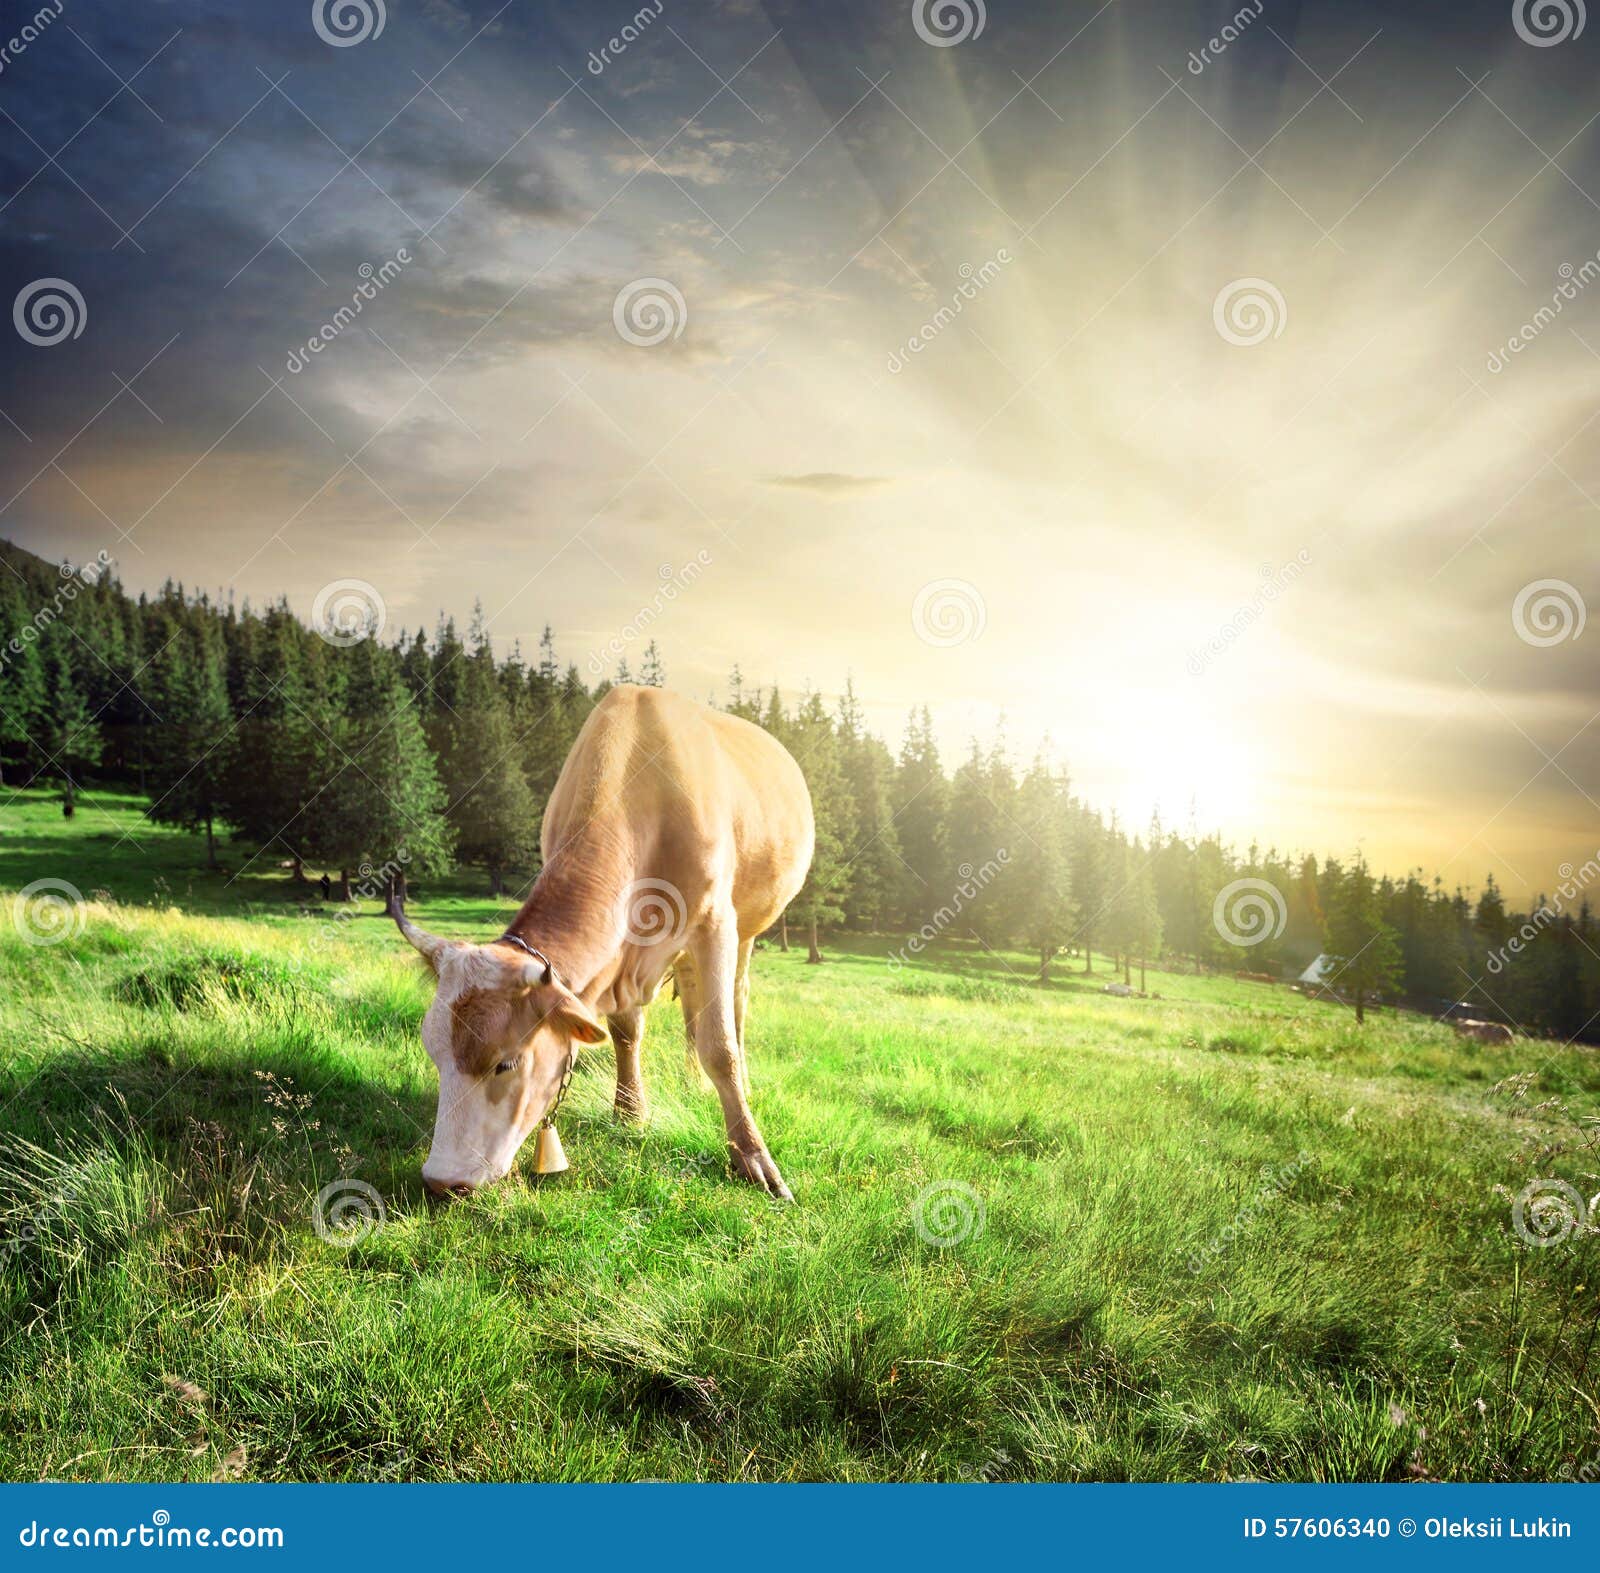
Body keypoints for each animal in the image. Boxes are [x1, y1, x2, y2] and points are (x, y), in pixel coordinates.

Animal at [389, 684, 814, 1201]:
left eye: (505, 1064)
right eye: (434, 1054)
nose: (442, 1179)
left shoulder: (717, 921)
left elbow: (721, 1046)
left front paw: (751, 1156)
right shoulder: (621, 958)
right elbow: (627, 1030)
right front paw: (630, 1111)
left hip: (749, 927)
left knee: (735, 1005)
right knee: (693, 1007)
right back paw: (691, 1082)